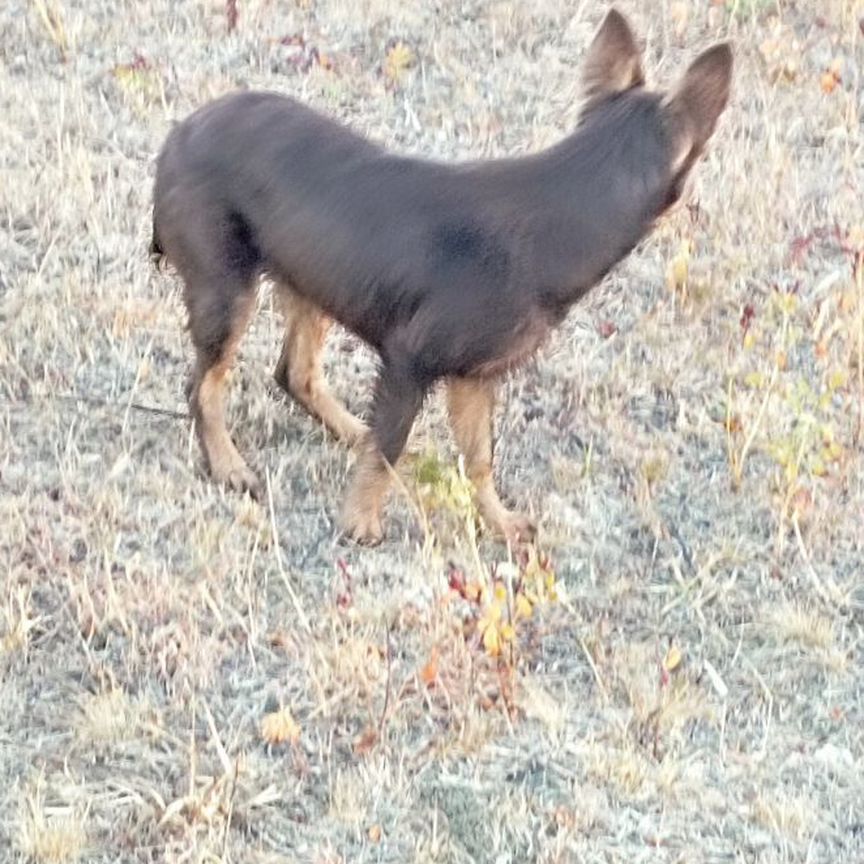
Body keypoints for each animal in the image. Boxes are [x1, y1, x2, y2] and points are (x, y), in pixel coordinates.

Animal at [152, 10, 732, 544]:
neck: (565, 207)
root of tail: (177, 134)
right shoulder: (410, 360)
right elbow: (390, 449)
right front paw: (360, 523)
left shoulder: (474, 378)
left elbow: (479, 459)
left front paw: (499, 522)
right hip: (227, 291)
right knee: (204, 387)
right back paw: (229, 465)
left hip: (310, 277)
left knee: (294, 373)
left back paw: (349, 428)